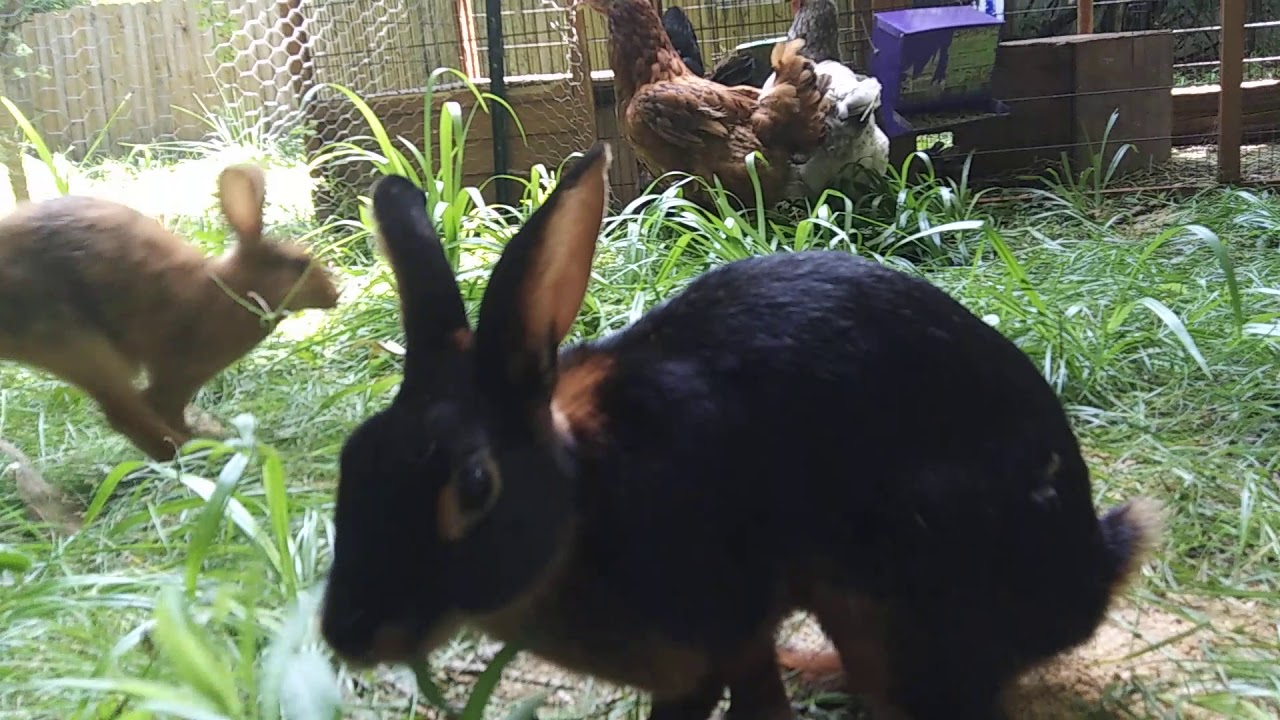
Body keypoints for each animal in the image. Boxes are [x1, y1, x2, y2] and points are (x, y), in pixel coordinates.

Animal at [0, 164, 340, 462]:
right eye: (300, 264)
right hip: (80, 344)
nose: (335, 296)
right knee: (124, 413)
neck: (225, 290)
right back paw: (194, 452)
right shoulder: (177, 370)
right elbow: (160, 404)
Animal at [318, 142, 1163, 720]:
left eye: (473, 486)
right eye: (354, 457)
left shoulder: (709, 638)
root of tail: (1091, 574)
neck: (582, 494)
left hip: (897, 586)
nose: (345, 631)